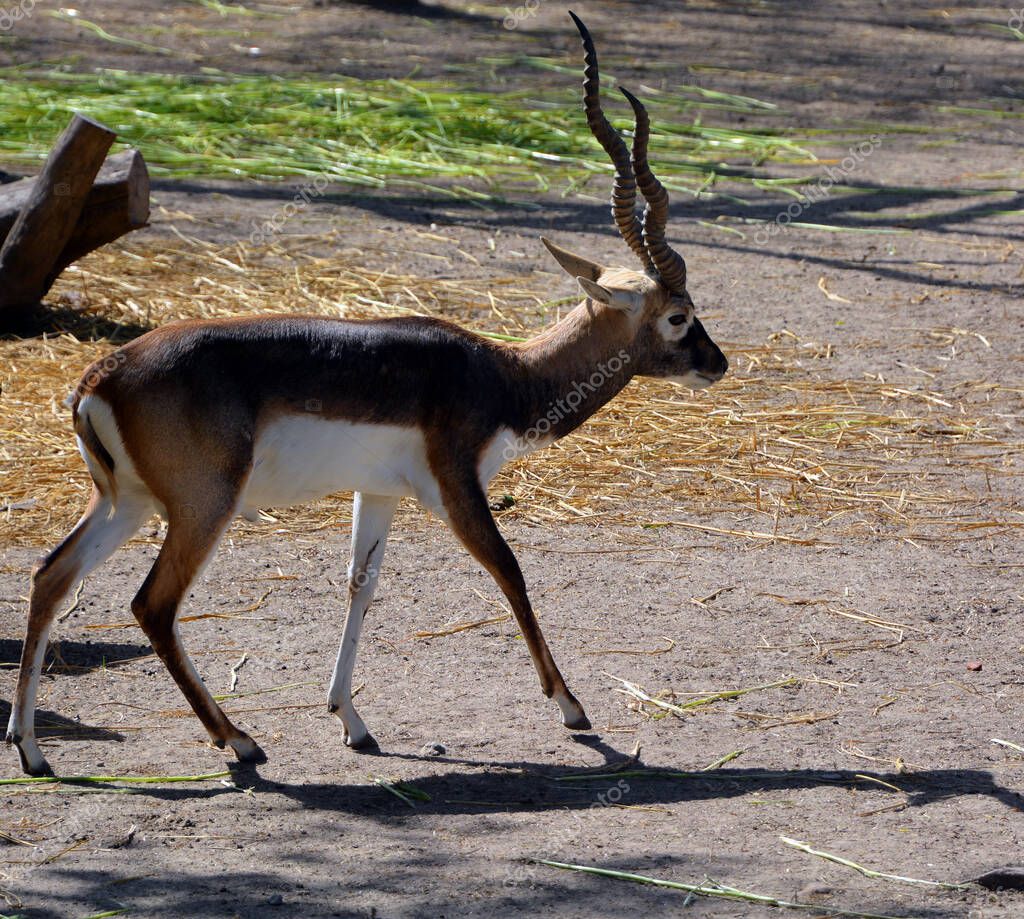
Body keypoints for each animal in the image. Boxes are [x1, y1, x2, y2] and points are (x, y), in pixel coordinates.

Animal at [6, 12, 727, 776]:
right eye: (678, 315)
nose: (718, 363)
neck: (503, 373)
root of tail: (100, 376)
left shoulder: (377, 492)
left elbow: (360, 584)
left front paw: (351, 720)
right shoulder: (456, 486)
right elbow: (510, 571)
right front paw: (571, 707)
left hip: (127, 501)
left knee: (51, 576)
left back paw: (32, 749)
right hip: (202, 506)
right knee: (152, 605)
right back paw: (240, 741)